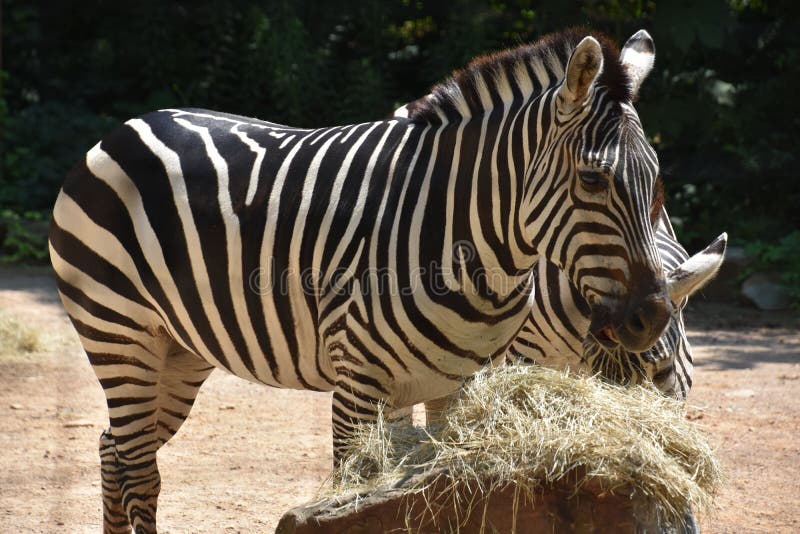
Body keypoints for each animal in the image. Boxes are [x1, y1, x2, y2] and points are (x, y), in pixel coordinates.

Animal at [50, 29, 671, 532]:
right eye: (593, 179)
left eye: (657, 180)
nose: (655, 317)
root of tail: (125, 128)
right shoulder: (356, 384)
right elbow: (348, 494)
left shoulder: (461, 384)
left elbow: (449, 489)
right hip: (119, 334)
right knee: (138, 469)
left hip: (178, 349)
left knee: (113, 452)